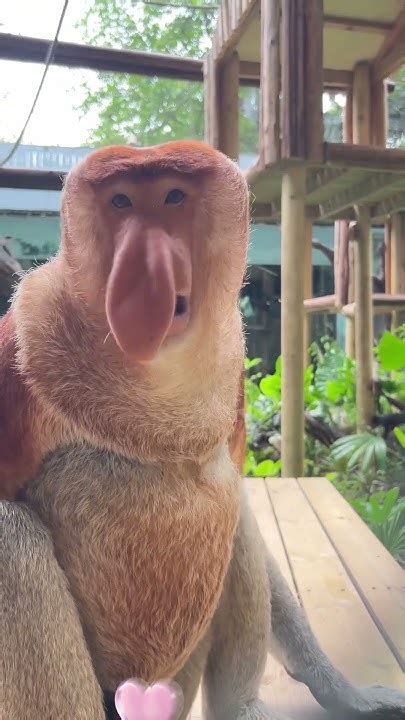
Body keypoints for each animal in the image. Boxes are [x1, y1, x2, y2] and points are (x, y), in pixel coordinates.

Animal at [1, 142, 404, 720]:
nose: (145, 267)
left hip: (180, 677)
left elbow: (238, 492)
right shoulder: (20, 349)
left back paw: (243, 706)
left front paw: (346, 692)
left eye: (173, 197)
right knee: (11, 536)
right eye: (121, 202)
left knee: (225, 490)